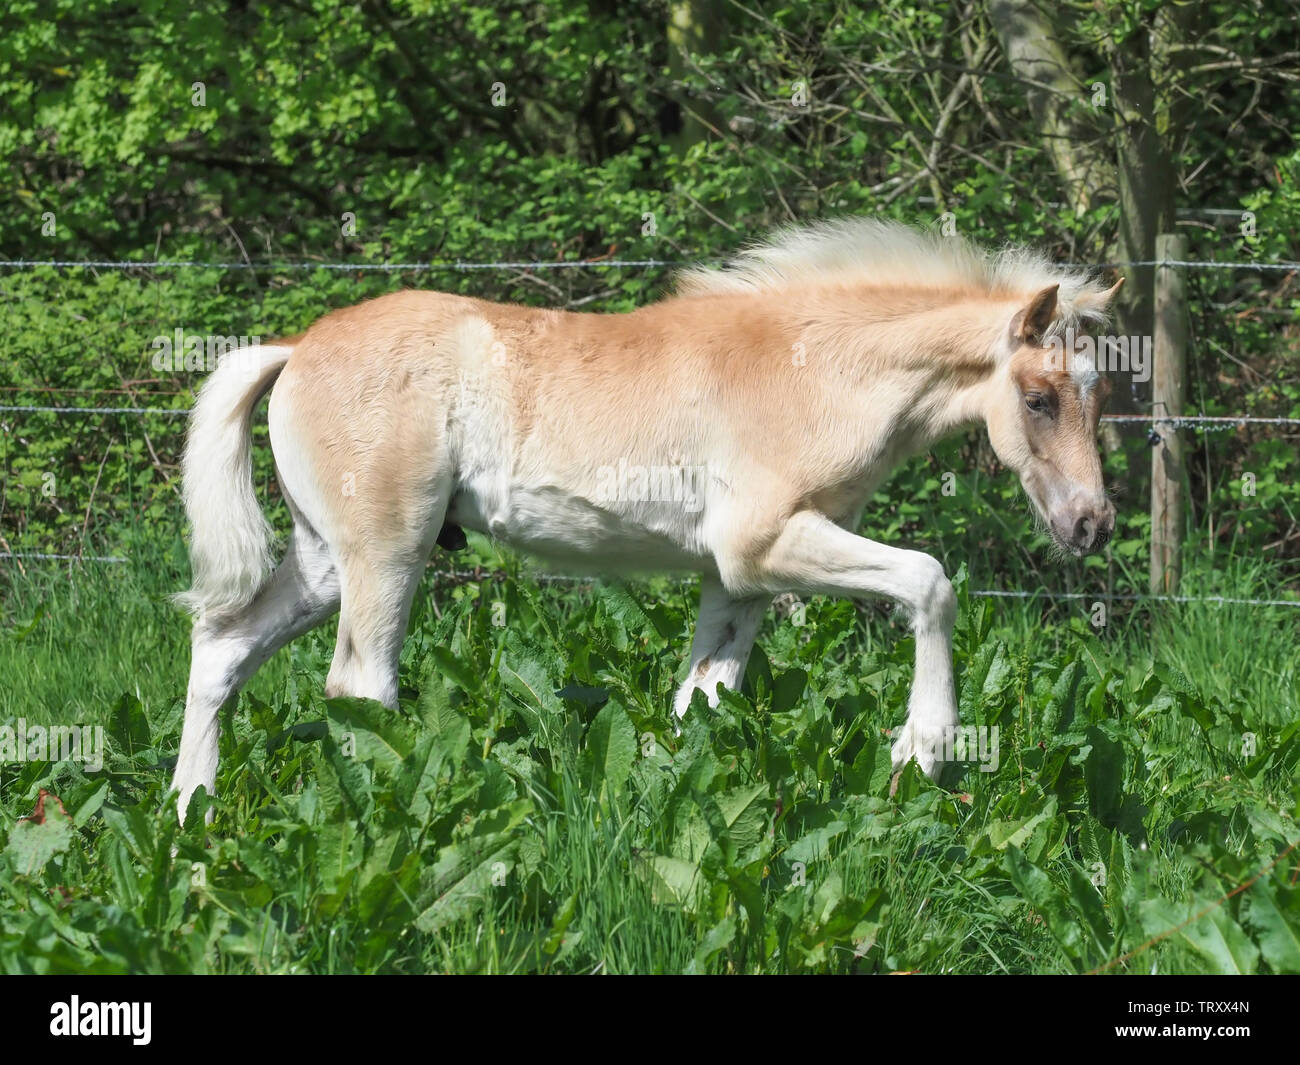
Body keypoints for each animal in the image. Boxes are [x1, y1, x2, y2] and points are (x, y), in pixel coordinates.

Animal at [169, 219, 1122, 820]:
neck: (813, 366)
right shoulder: (767, 544)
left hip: (324, 559)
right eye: (1039, 399)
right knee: (360, 689)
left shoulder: (735, 579)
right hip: (385, 554)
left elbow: (699, 699)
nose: (1091, 524)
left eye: (1100, 392)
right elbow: (930, 582)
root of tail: (295, 347)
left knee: (220, 650)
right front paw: (922, 749)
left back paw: (190, 816)